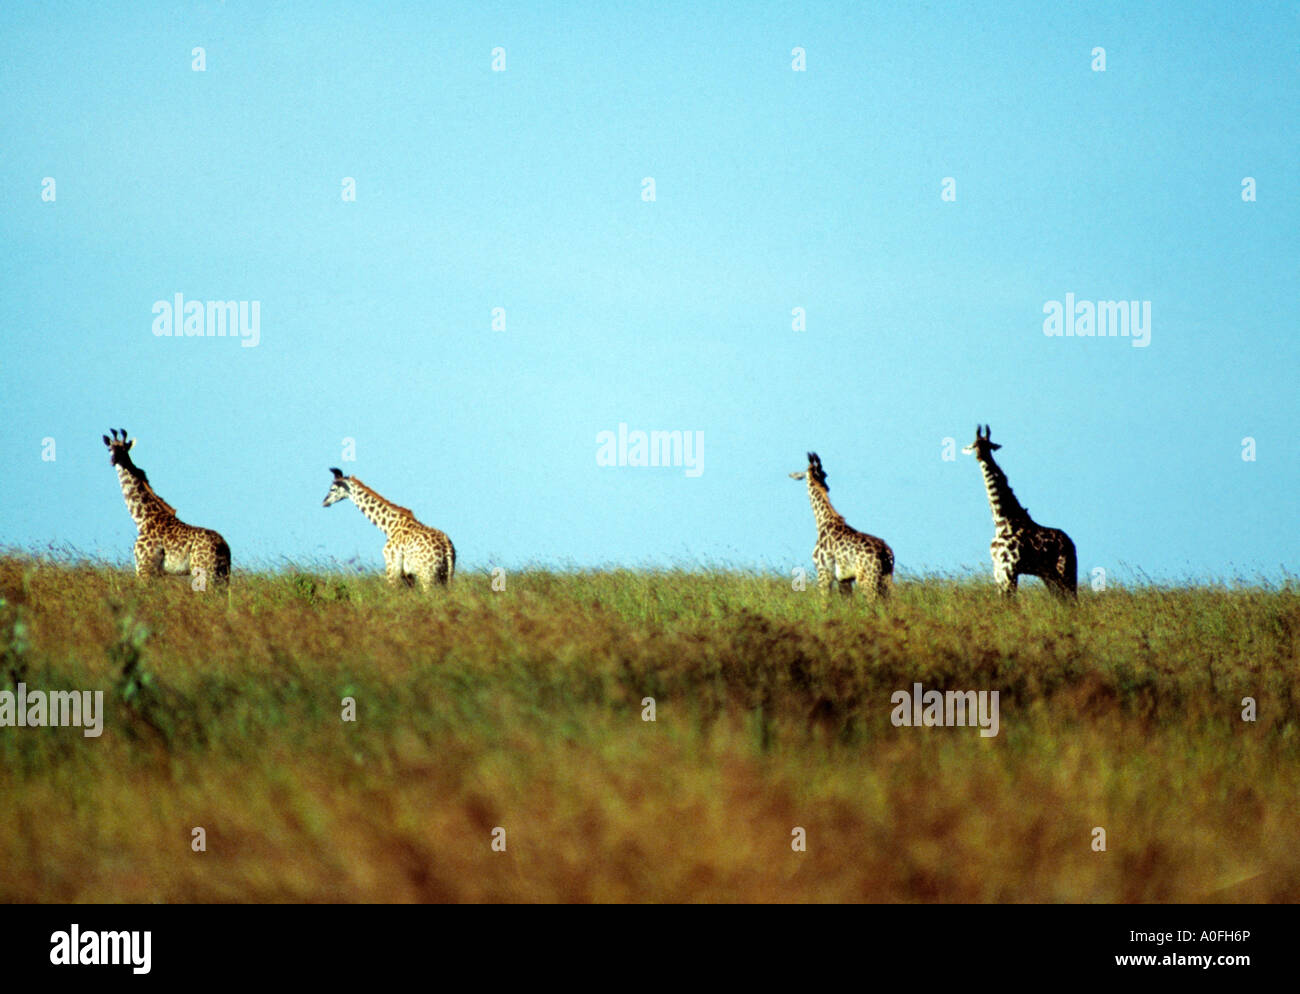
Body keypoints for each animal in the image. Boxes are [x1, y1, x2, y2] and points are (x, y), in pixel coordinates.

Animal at [102, 428, 230, 587]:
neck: (142, 519)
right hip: (223, 574)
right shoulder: (158, 573)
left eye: (123, 450)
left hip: (204, 571)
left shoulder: (144, 568)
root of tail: (224, 546)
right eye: (110, 449)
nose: (113, 461)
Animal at [321, 468, 455, 589]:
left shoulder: (392, 566)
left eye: (332, 488)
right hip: (445, 576)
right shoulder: (408, 574)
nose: (324, 502)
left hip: (426, 575)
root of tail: (447, 548)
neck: (388, 525)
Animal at [789, 452, 894, 600]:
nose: (827, 487)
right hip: (886, 578)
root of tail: (886, 553)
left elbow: (824, 602)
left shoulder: (824, 572)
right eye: (824, 474)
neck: (822, 521)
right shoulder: (844, 579)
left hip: (868, 579)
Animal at [962, 425, 1076, 598]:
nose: (980, 457)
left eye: (988, 446)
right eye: (975, 445)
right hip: (1049, 574)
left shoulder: (1010, 570)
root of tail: (1071, 542)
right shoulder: (998, 571)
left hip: (1065, 570)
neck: (1002, 521)